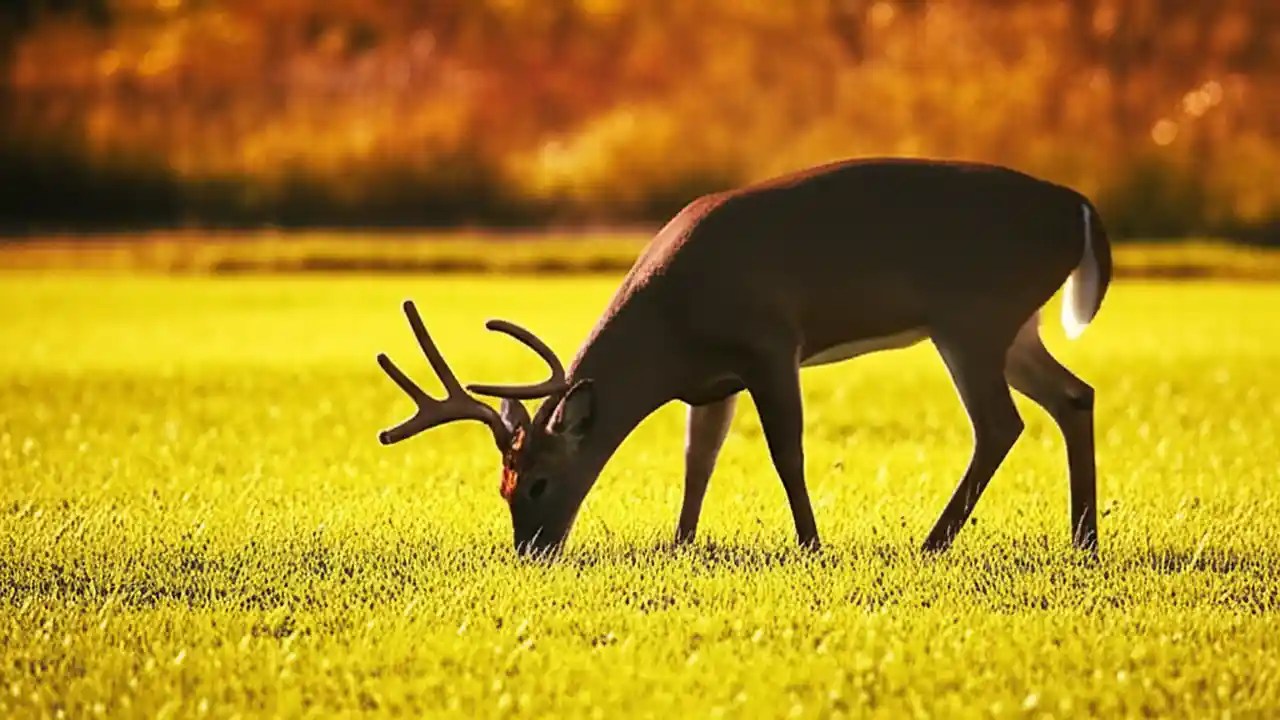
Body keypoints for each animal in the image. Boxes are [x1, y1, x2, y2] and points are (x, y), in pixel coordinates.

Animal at [376, 158, 1111, 557]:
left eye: (535, 483)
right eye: (501, 487)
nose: (532, 551)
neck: (672, 330)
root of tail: (1080, 207)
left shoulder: (769, 342)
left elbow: (786, 451)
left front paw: (811, 544)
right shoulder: (713, 381)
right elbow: (698, 458)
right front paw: (680, 542)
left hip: (972, 316)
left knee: (1000, 423)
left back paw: (933, 543)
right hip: (1014, 324)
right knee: (1075, 395)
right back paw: (1082, 539)